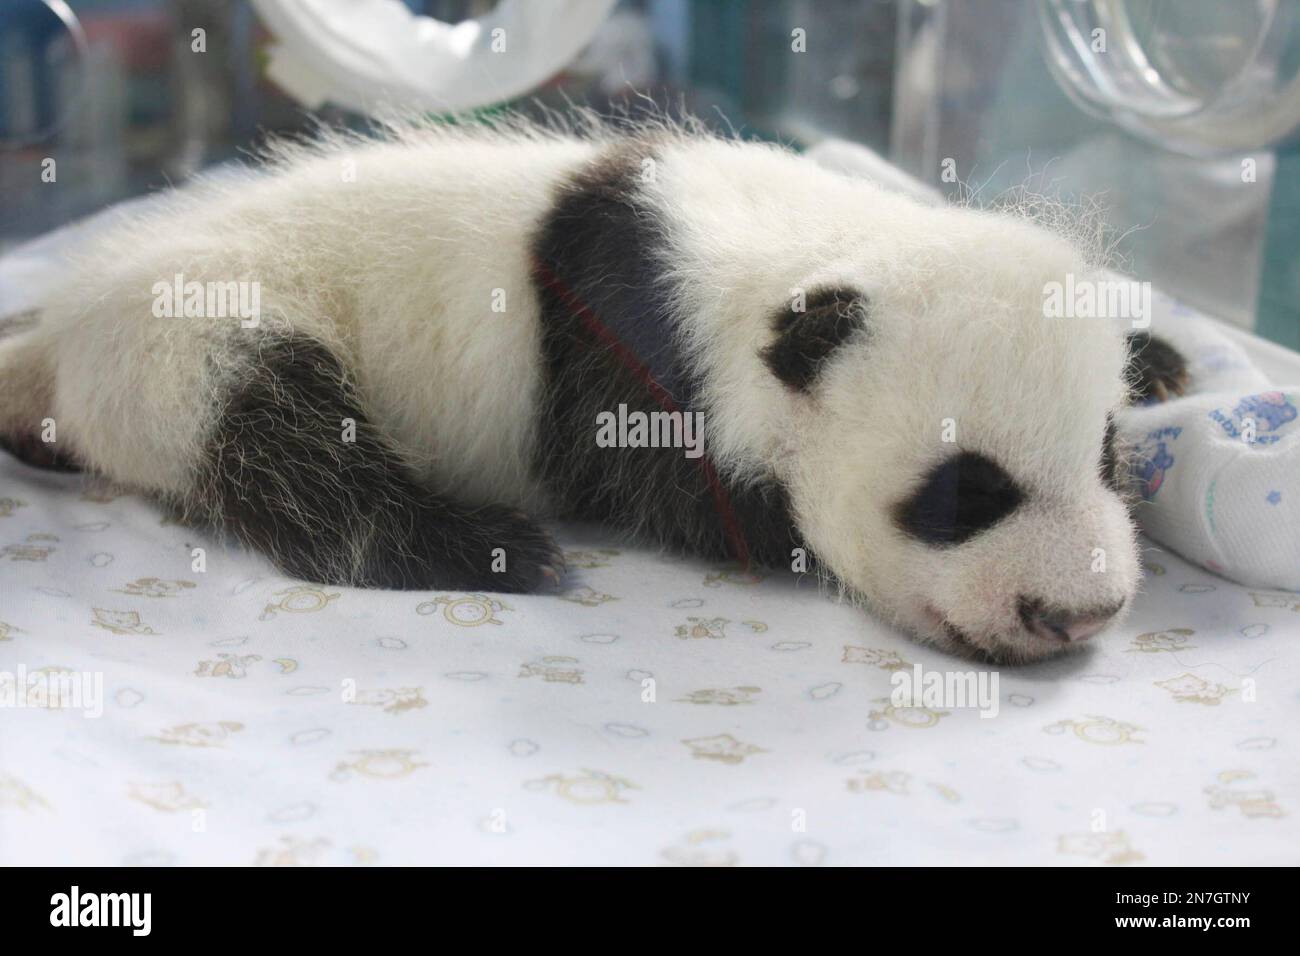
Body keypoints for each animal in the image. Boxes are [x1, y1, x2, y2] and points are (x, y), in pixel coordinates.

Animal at [0, 114, 1189, 664]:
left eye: (1106, 458)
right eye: (962, 493)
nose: (1077, 613)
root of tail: (59, 323)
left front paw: (1162, 357)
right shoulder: (622, 362)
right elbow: (691, 497)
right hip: (197, 326)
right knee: (285, 441)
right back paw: (478, 545)